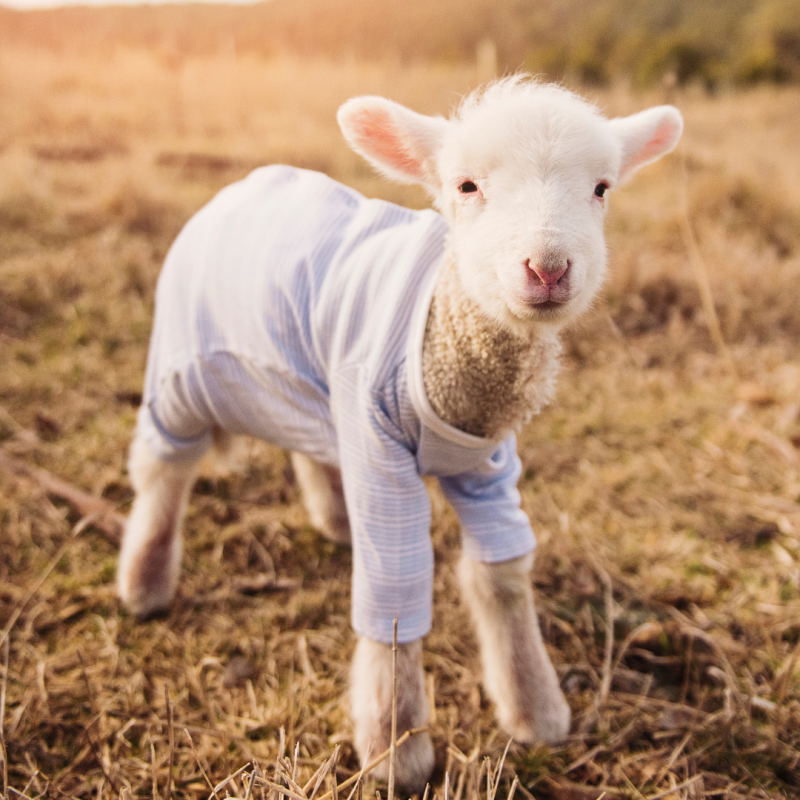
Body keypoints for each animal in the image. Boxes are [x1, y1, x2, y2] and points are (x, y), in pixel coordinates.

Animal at [117, 76, 683, 791]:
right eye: (466, 186)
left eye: (603, 188)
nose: (549, 269)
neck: (449, 337)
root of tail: (240, 187)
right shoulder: (380, 451)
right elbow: (396, 593)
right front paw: (398, 749)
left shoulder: (489, 462)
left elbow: (502, 576)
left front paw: (536, 709)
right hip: (182, 373)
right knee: (163, 469)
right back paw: (145, 582)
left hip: (313, 383)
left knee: (306, 441)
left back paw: (332, 520)